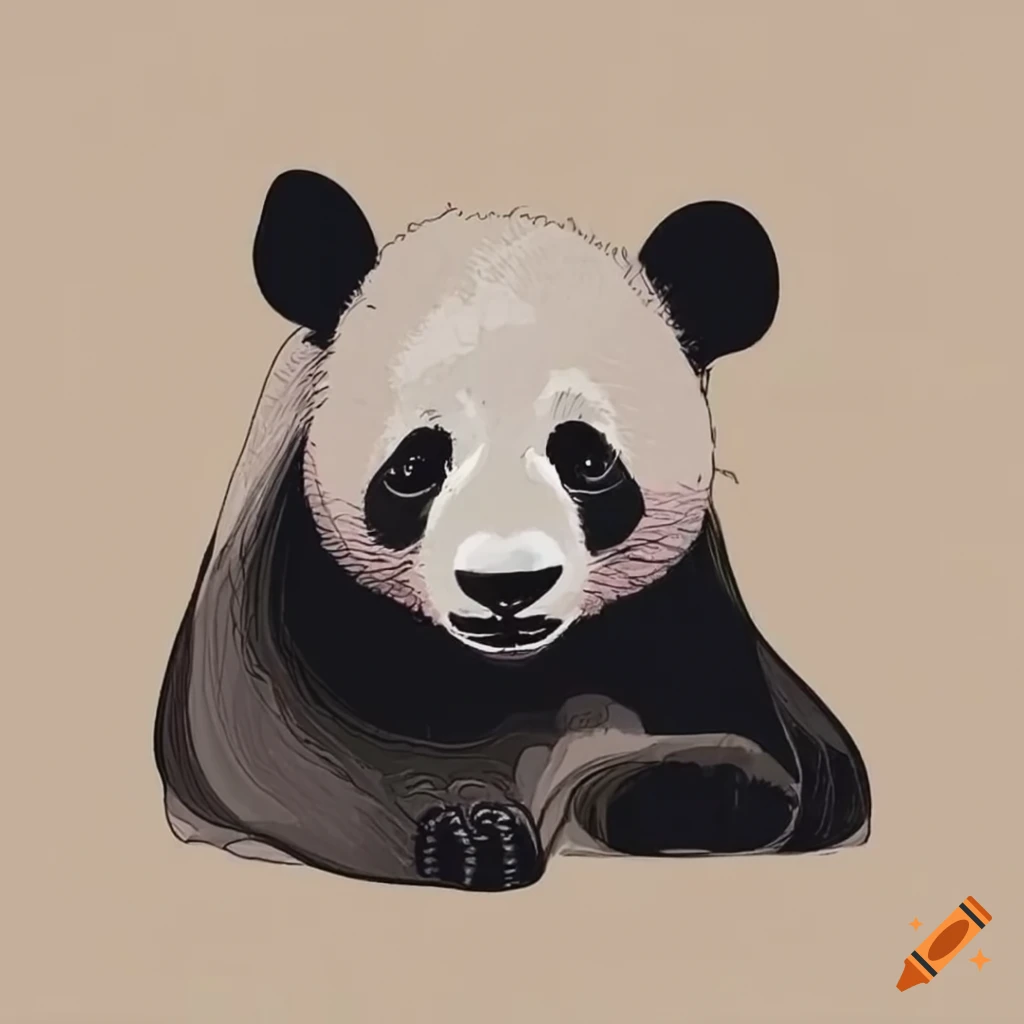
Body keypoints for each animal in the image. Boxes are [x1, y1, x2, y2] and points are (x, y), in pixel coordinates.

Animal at [154, 169, 871, 892]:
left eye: (588, 461)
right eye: (413, 466)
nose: (506, 588)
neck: (505, 672)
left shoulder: (685, 615)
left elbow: (740, 761)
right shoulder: (271, 606)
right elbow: (287, 768)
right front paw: (469, 833)